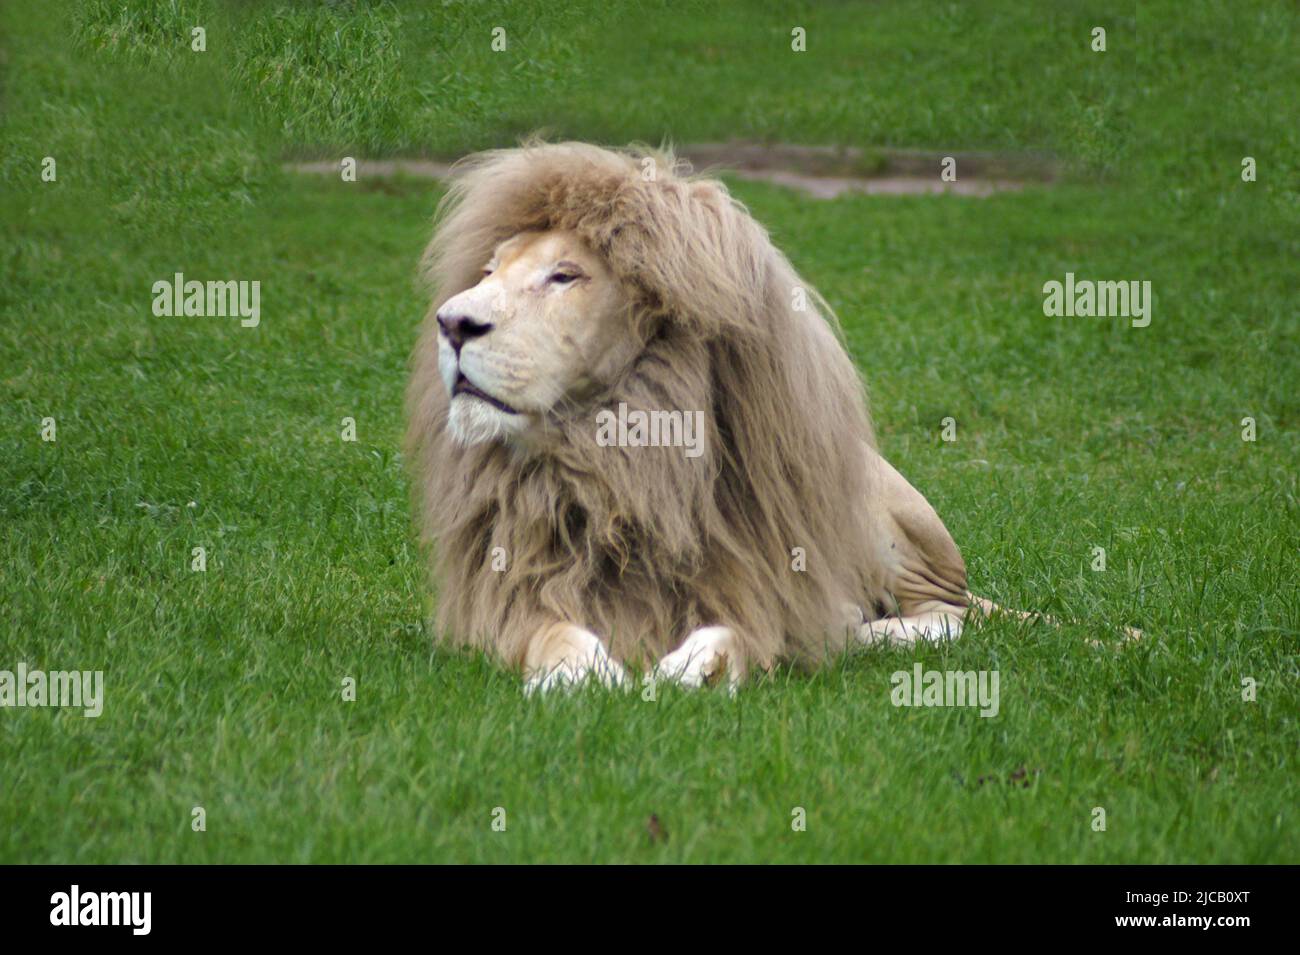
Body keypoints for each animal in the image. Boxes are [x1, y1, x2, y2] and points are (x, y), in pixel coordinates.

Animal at [405, 141, 1126, 693]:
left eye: (564, 276)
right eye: (490, 270)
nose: (453, 323)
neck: (612, 461)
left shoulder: (759, 585)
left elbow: (739, 633)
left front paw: (694, 669)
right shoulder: (509, 599)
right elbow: (551, 635)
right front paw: (576, 675)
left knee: (945, 616)